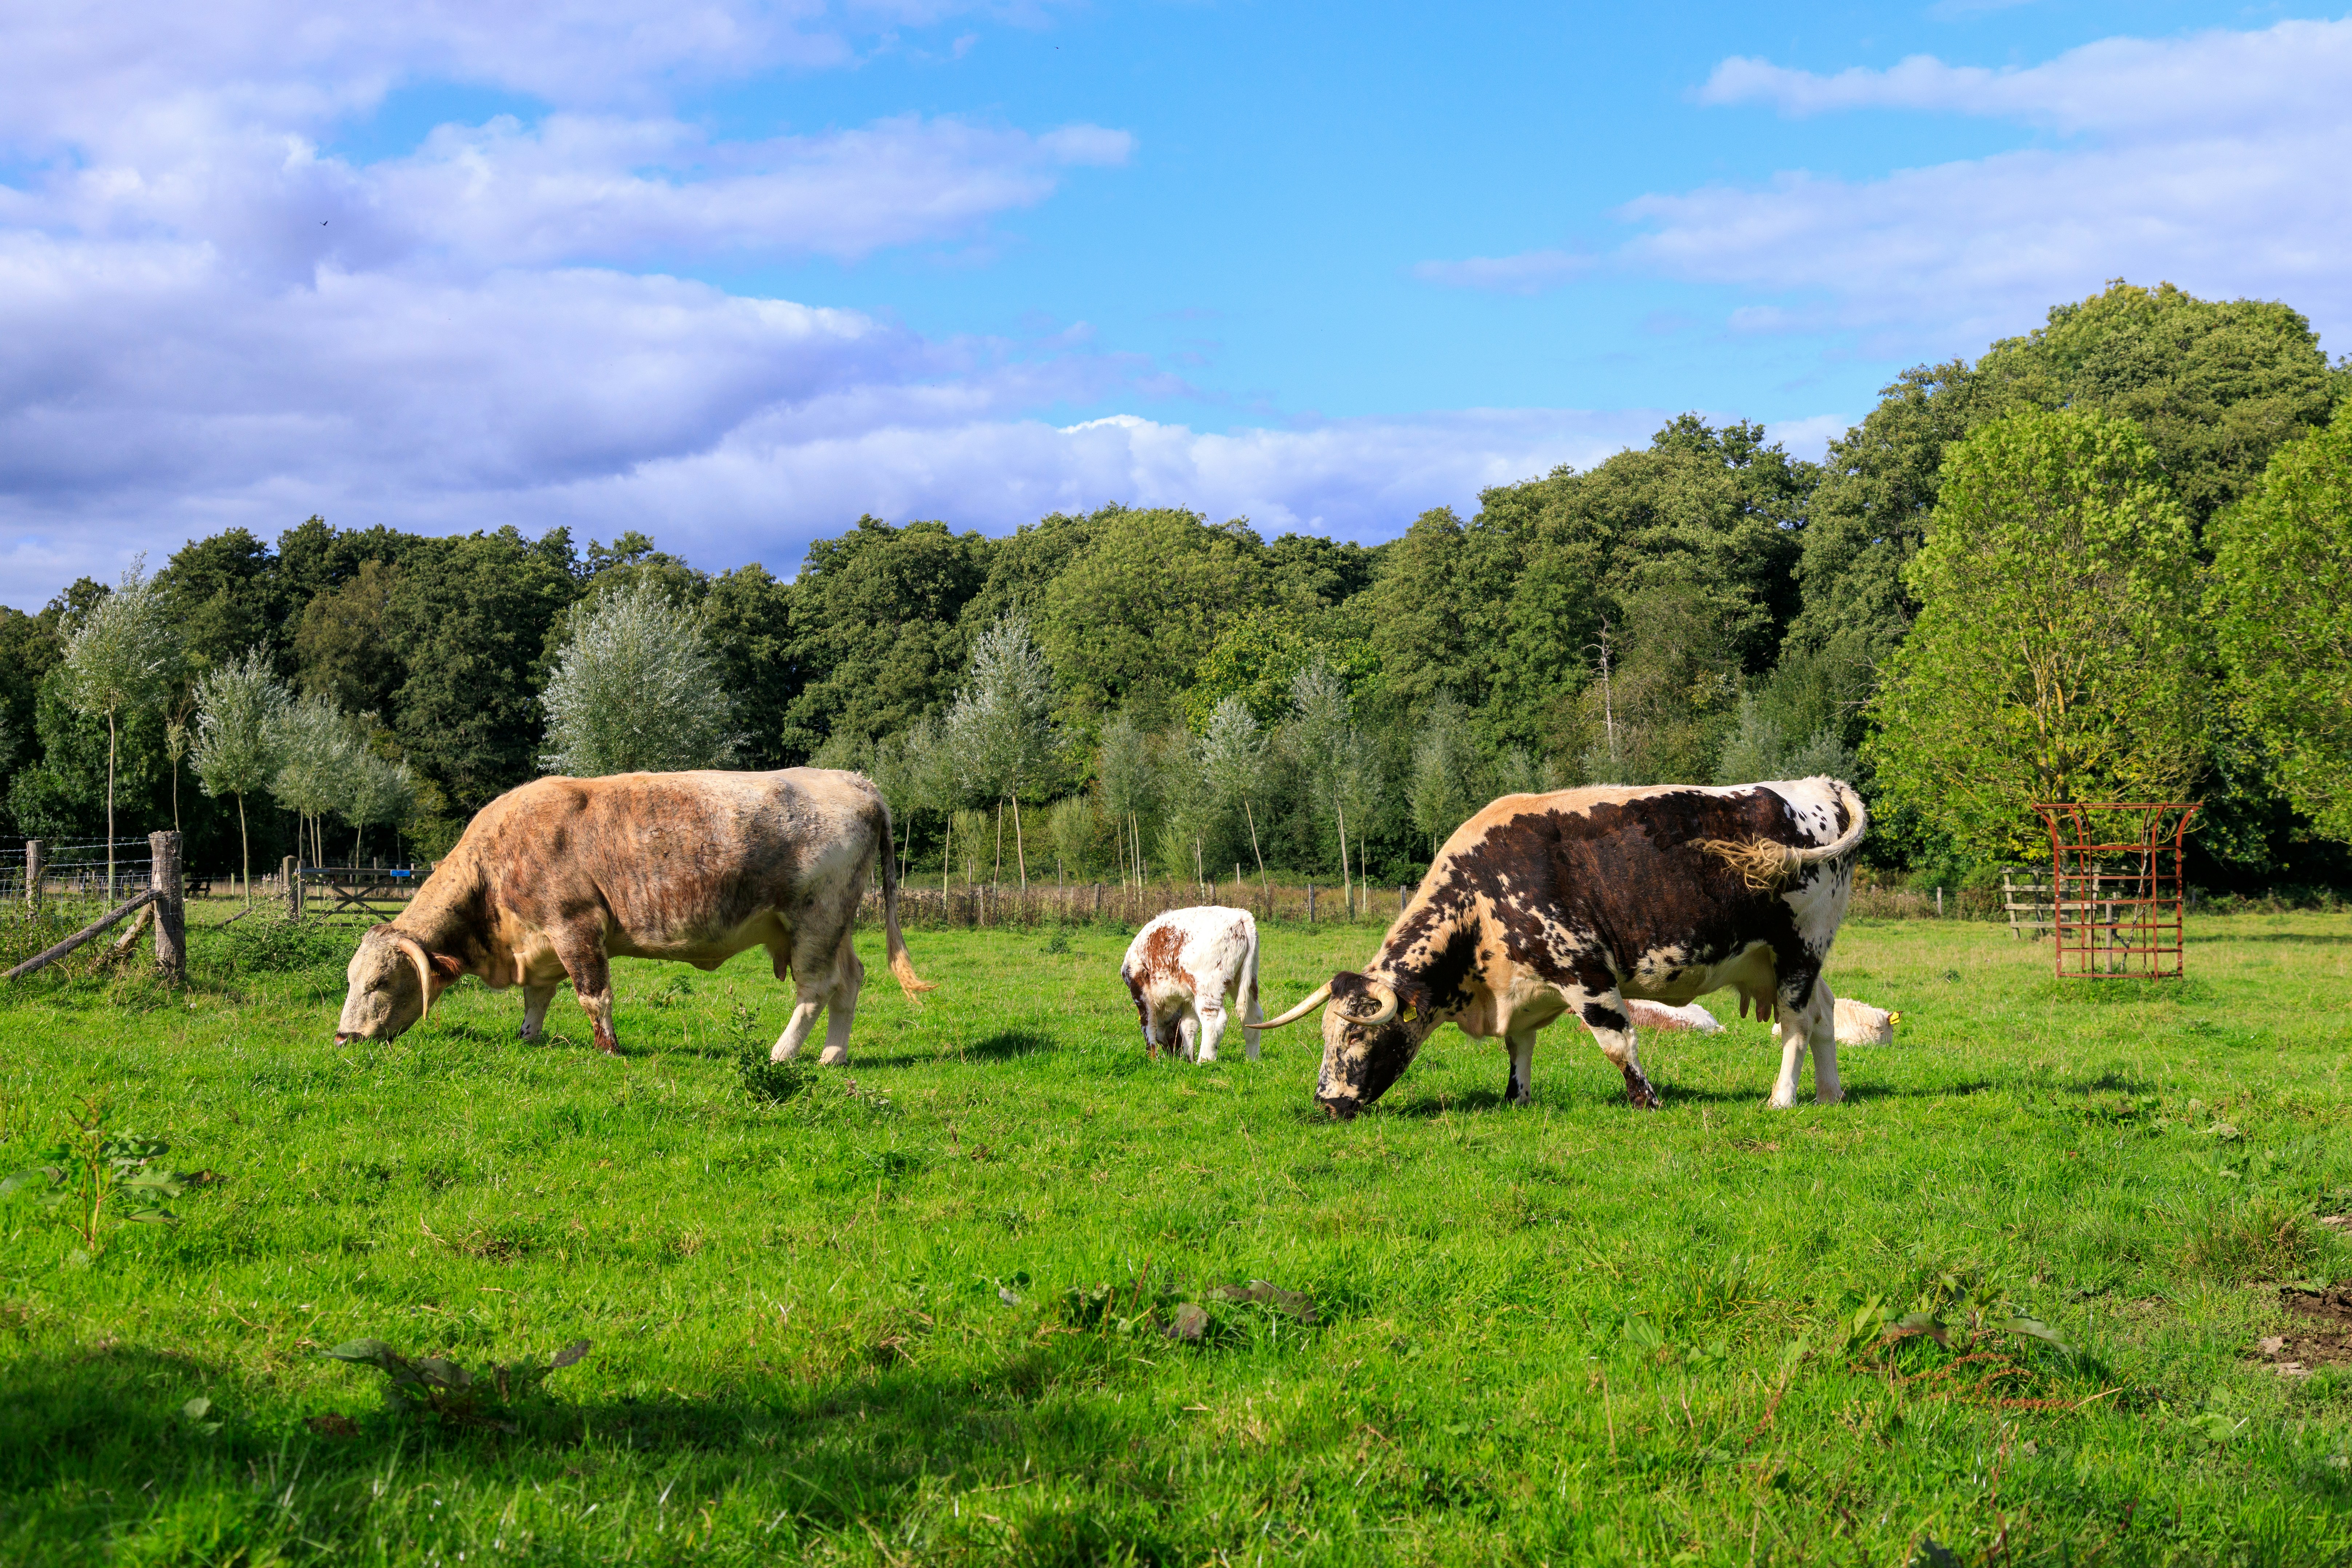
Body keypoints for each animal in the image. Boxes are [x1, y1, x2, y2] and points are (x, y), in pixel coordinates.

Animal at [333, 768, 930, 1060]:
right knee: (850, 981)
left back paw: (783, 1054)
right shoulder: (540, 942)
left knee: (815, 990)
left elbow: (592, 996)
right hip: (837, 925)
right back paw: (834, 1056)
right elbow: (538, 997)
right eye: (351, 979)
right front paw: (528, 1037)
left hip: (815, 918)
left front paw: (609, 1049)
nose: (343, 1039)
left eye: (381, 981)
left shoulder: (575, 926)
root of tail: (855, 781)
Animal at [1121, 906, 1264, 1063]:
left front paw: (1153, 1059)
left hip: (1207, 988)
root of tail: (1240, 916)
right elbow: (1188, 1027)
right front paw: (1188, 1059)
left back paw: (1204, 1061)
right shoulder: (1187, 998)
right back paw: (1252, 1060)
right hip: (1246, 982)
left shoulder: (1141, 994)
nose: (1174, 1053)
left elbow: (1149, 1025)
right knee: (1253, 1018)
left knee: (1215, 1021)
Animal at [1261, 778, 1867, 1119]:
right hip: (1789, 957)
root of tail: (1817, 783)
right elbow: (1519, 1049)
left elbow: (1618, 1042)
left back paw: (1783, 1098)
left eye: (1356, 1034)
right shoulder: (1524, 987)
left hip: (1799, 947)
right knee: (1824, 1014)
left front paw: (1647, 1101)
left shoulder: (1585, 973)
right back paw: (1829, 1093)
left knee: (1795, 1025)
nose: (1325, 1103)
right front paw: (1517, 1099)